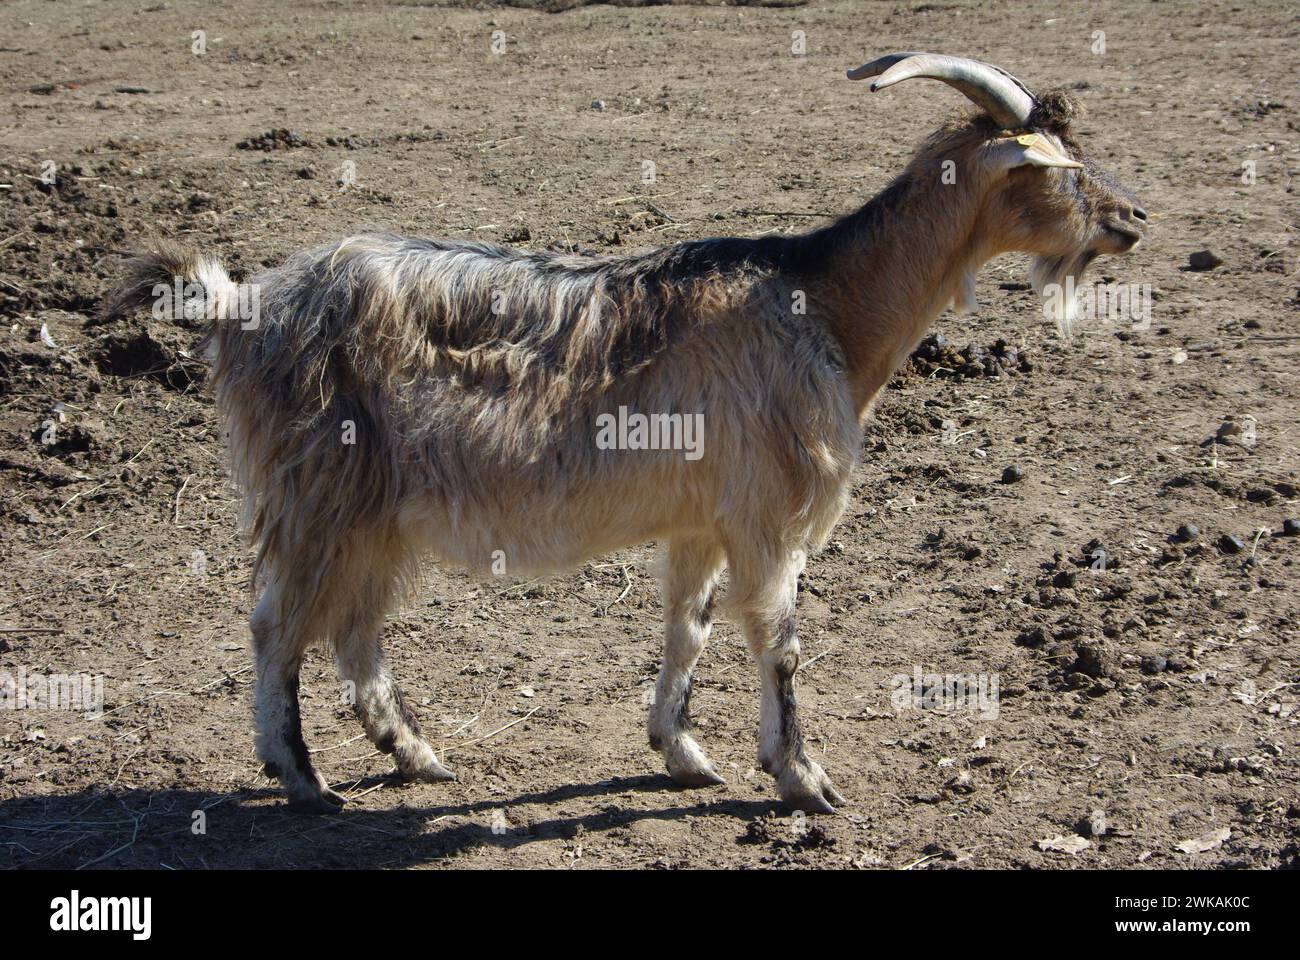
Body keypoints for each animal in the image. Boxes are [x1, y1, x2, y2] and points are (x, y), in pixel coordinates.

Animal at [106, 53, 1147, 814]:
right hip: (317, 488)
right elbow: (781, 643)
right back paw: (302, 776)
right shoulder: (766, 516)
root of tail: (242, 307)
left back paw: (417, 755)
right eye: (1060, 167)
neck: (826, 304)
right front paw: (803, 778)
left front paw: (680, 749)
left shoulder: (701, 519)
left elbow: (687, 627)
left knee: (353, 629)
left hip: (374, 512)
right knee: (277, 624)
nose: (1134, 218)